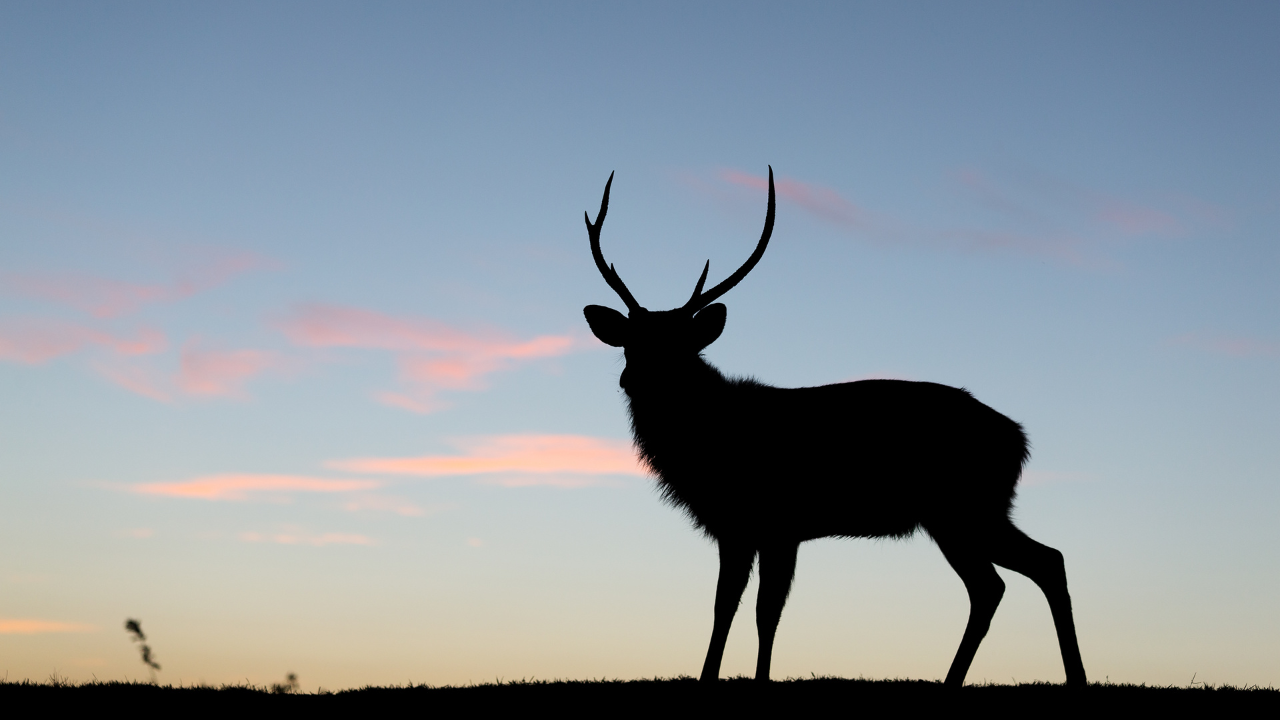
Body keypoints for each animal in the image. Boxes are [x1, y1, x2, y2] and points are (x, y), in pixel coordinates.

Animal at [581, 167, 1087, 687]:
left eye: (678, 347)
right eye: (630, 344)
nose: (630, 379)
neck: (707, 446)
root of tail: (1019, 439)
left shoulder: (770, 522)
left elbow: (755, 610)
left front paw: (744, 681)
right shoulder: (750, 528)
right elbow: (737, 609)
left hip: (965, 507)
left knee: (1020, 572)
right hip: (967, 513)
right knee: (1019, 574)